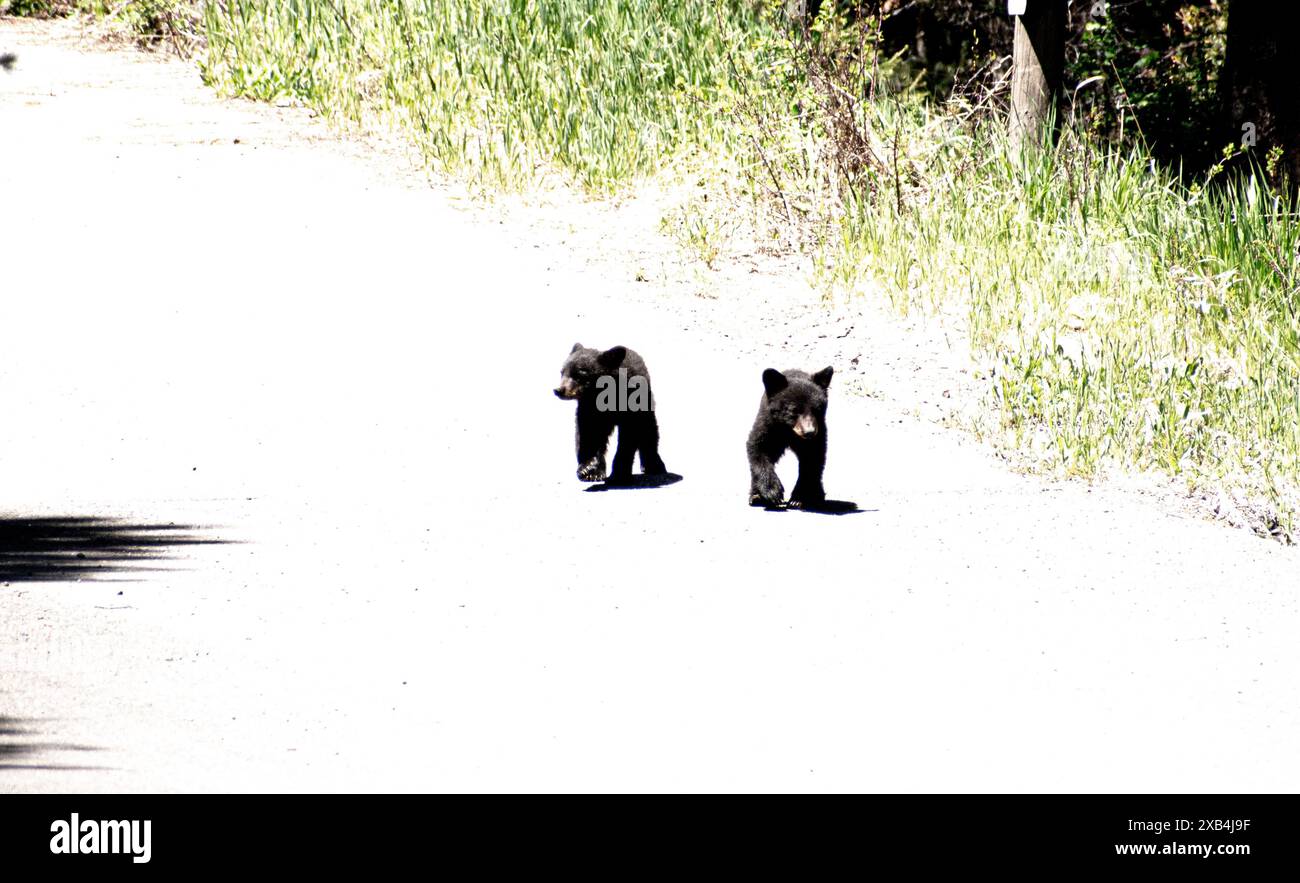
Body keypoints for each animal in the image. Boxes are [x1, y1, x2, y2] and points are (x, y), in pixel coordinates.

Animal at [554, 343, 667, 483]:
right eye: (561, 372)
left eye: (579, 374)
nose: (559, 390)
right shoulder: (589, 409)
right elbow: (589, 433)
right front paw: (589, 470)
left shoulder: (630, 406)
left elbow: (629, 437)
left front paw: (619, 473)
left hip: (646, 406)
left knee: (649, 432)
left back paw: (654, 465)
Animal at [746, 365, 834, 508]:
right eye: (794, 410)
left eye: (817, 409)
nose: (809, 432)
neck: (789, 431)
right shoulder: (769, 424)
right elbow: (759, 448)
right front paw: (772, 491)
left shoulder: (817, 435)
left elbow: (812, 459)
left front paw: (798, 498)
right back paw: (756, 496)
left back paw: (817, 496)